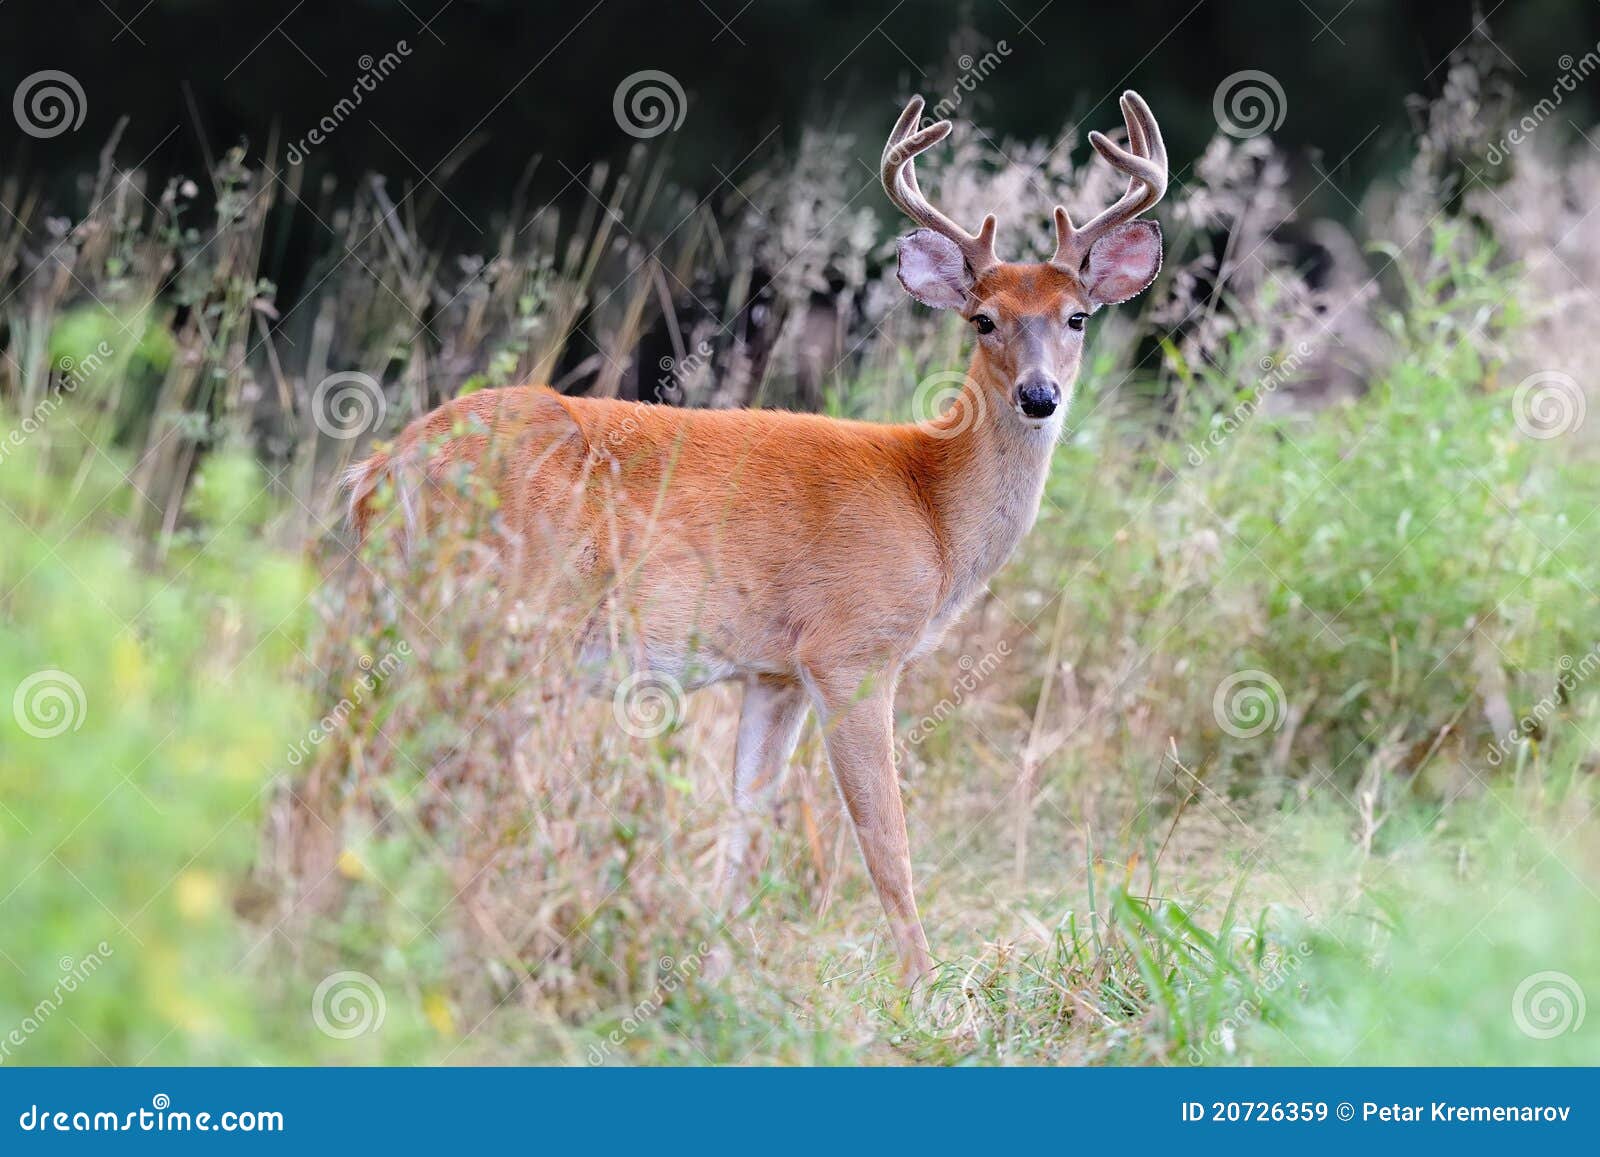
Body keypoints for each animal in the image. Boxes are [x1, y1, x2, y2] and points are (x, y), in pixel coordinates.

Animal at [344, 91, 1167, 987]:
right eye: (984, 319)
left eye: (1077, 317)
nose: (1039, 395)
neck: (930, 505)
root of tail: (382, 469)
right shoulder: (850, 648)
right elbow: (885, 838)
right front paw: (927, 986)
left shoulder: (773, 671)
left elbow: (746, 823)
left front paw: (712, 973)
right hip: (511, 615)